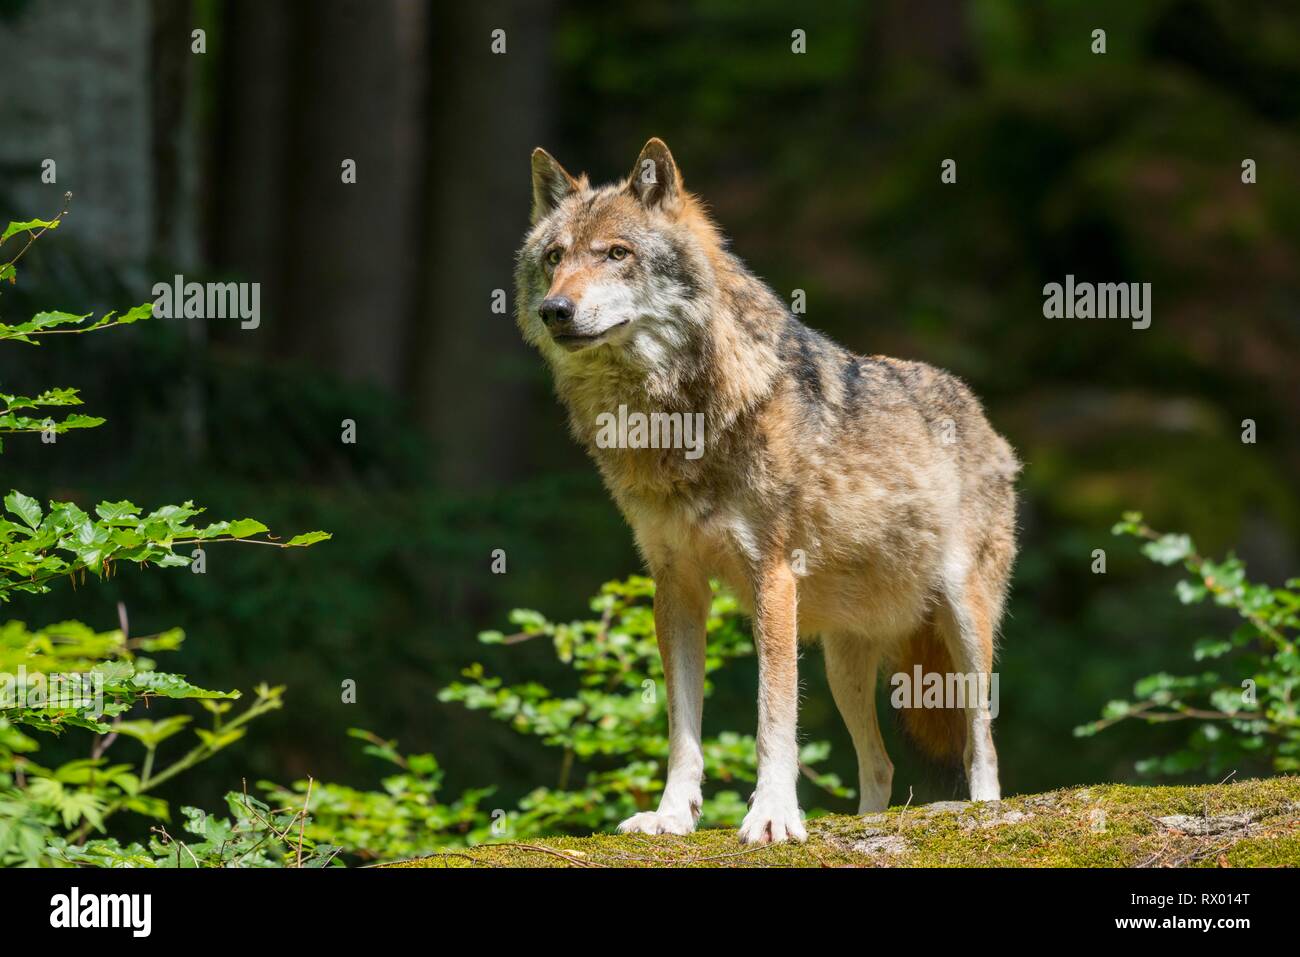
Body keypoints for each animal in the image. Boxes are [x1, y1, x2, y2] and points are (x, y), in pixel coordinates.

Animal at [515, 138, 1019, 844]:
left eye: (616, 253)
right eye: (555, 257)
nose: (554, 310)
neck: (675, 416)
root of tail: (981, 414)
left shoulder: (773, 575)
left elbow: (772, 718)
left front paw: (774, 814)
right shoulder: (675, 583)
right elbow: (682, 728)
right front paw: (672, 815)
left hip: (964, 626)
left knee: (982, 743)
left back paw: (983, 811)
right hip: (842, 662)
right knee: (882, 767)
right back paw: (864, 823)